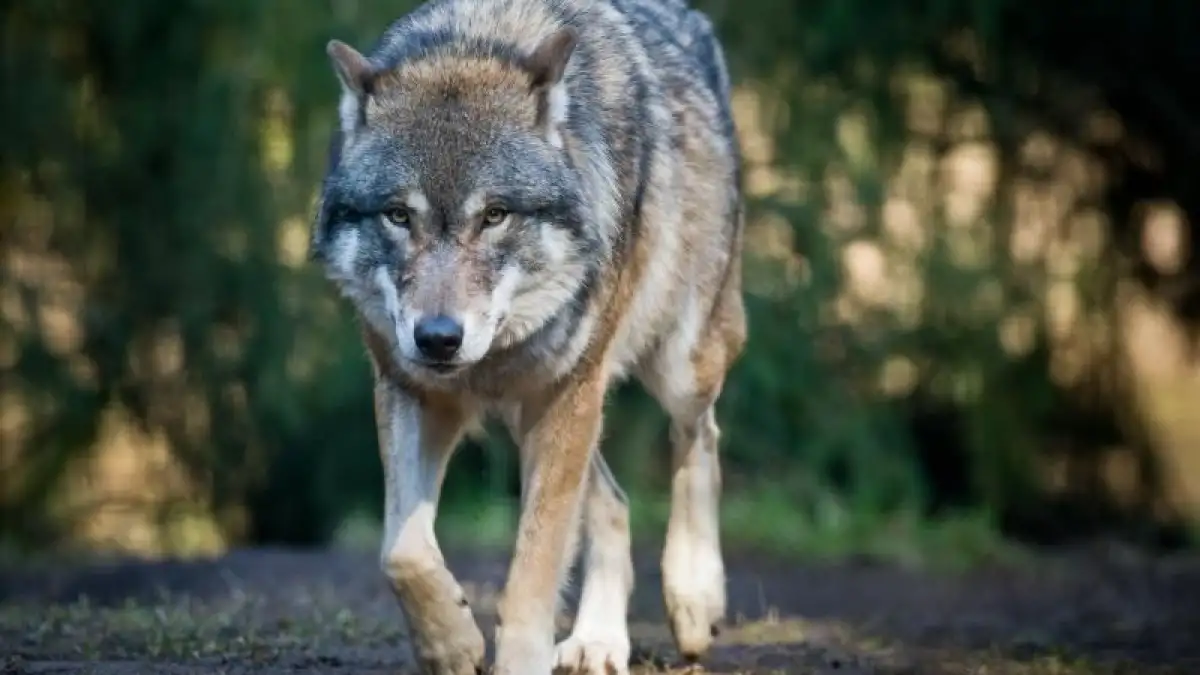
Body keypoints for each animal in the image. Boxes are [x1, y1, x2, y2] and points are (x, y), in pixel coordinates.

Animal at [309, 0, 745, 671]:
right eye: (398, 216)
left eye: (494, 215)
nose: (438, 339)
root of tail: (694, 22)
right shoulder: (411, 391)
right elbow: (401, 552)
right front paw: (452, 643)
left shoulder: (567, 393)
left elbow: (531, 580)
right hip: (533, 412)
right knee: (615, 502)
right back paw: (598, 639)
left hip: (674, 367)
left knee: (700, 435)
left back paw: (694, 595)